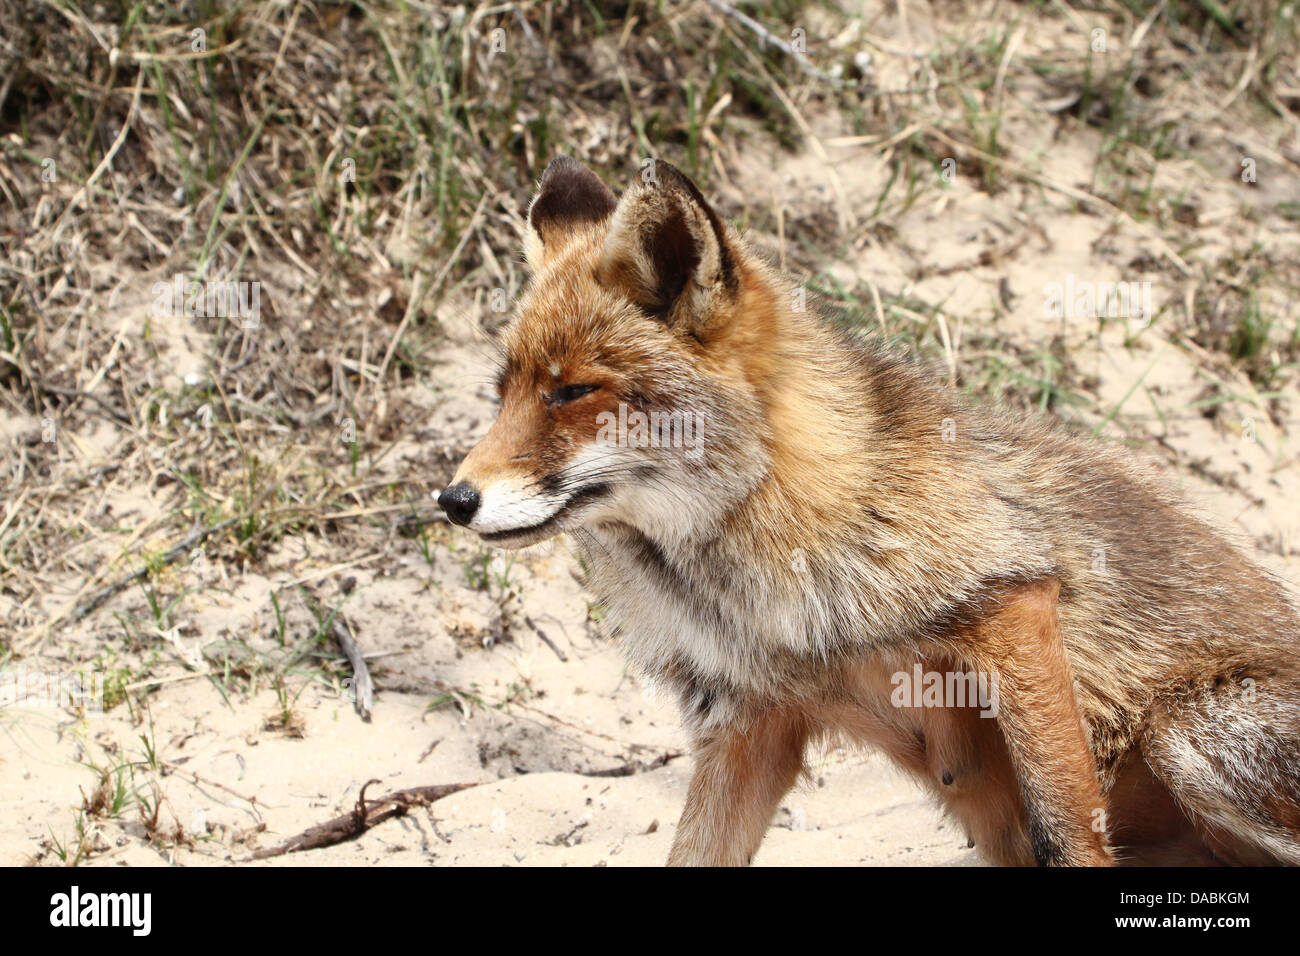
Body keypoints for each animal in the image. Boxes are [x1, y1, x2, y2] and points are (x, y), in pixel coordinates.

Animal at [437, 155, 1300, 866]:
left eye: (573, 391)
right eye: (502, 393)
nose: (452, 500)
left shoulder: (1011, 599)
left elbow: (1066, 835)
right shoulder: (751, 723)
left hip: (1188, 732)